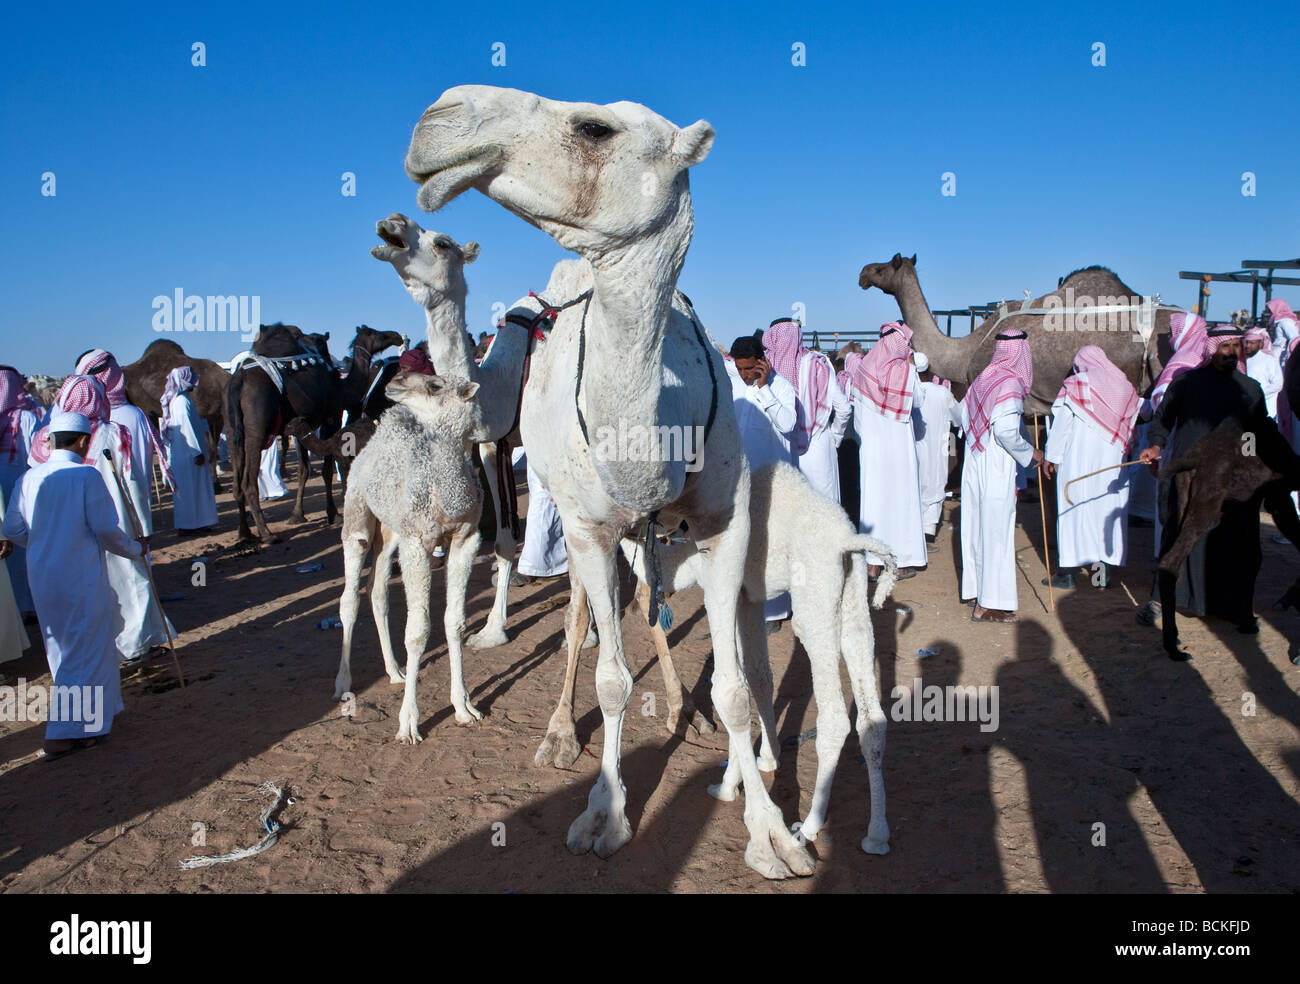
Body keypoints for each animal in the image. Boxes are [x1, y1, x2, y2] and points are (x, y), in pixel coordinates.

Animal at [334, 372, 485, 741]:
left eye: (434, 385)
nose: (396, 379)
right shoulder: (418, 543)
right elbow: (418, 630)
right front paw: (408, 724)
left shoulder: (466, 539)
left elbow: (455, 622)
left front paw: (464, 708)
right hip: (357, 511)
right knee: (350, 595)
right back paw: (343, 684)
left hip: (391, 534)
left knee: (376, 591)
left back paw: (394, 671)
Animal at [404, 84, 815, 878]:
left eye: (595, 128)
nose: (438, 116)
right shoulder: (590, 526)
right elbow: (613, 679)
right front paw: (605, 814)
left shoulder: (723, 524)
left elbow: (735, 689)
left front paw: (772, 834)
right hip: (567, 509)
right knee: (577, 618)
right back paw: (561, 733)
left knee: (644, 608)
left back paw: (679, 703)